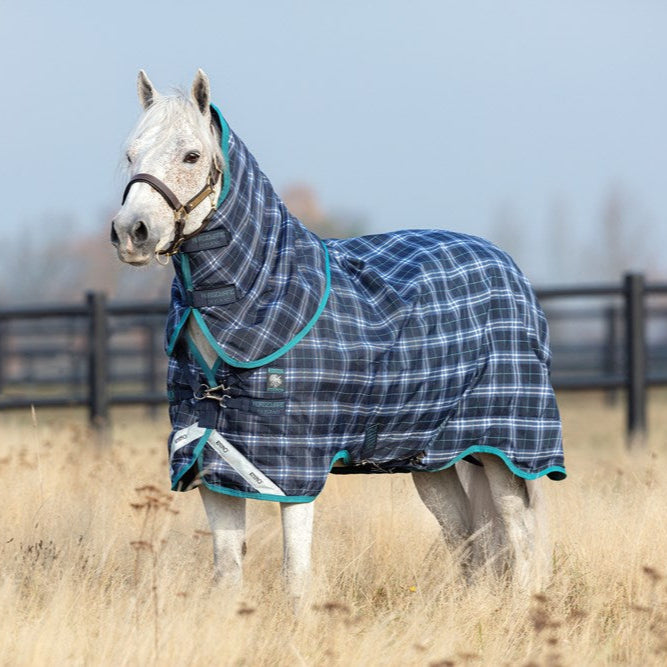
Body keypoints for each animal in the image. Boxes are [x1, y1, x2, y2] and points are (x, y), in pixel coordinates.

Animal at [110, 69, 565, 608]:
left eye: (191, 156)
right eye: (131, 154)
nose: (131, 232)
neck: (265, 294)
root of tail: (508, 266)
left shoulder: (291, 470)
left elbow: (295, 574)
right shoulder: (211, 457)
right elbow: (227, 570)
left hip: (504, 451)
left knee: (519, 535)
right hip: (433, 457)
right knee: (467, 538)